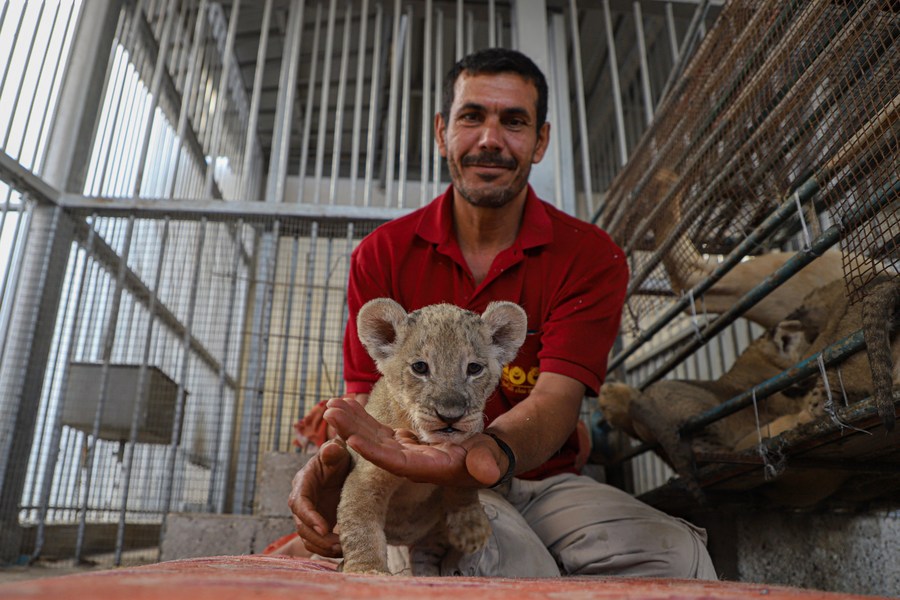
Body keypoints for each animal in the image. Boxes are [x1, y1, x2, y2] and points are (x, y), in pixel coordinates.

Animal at [336, 298, 527, 575]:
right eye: (420, 367)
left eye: (474, 368)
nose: (450, 416)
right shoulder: (364, 475)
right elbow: (360, 526)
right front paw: (367, 570)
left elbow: (464, 486)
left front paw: (471, 526)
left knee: (424, 555)